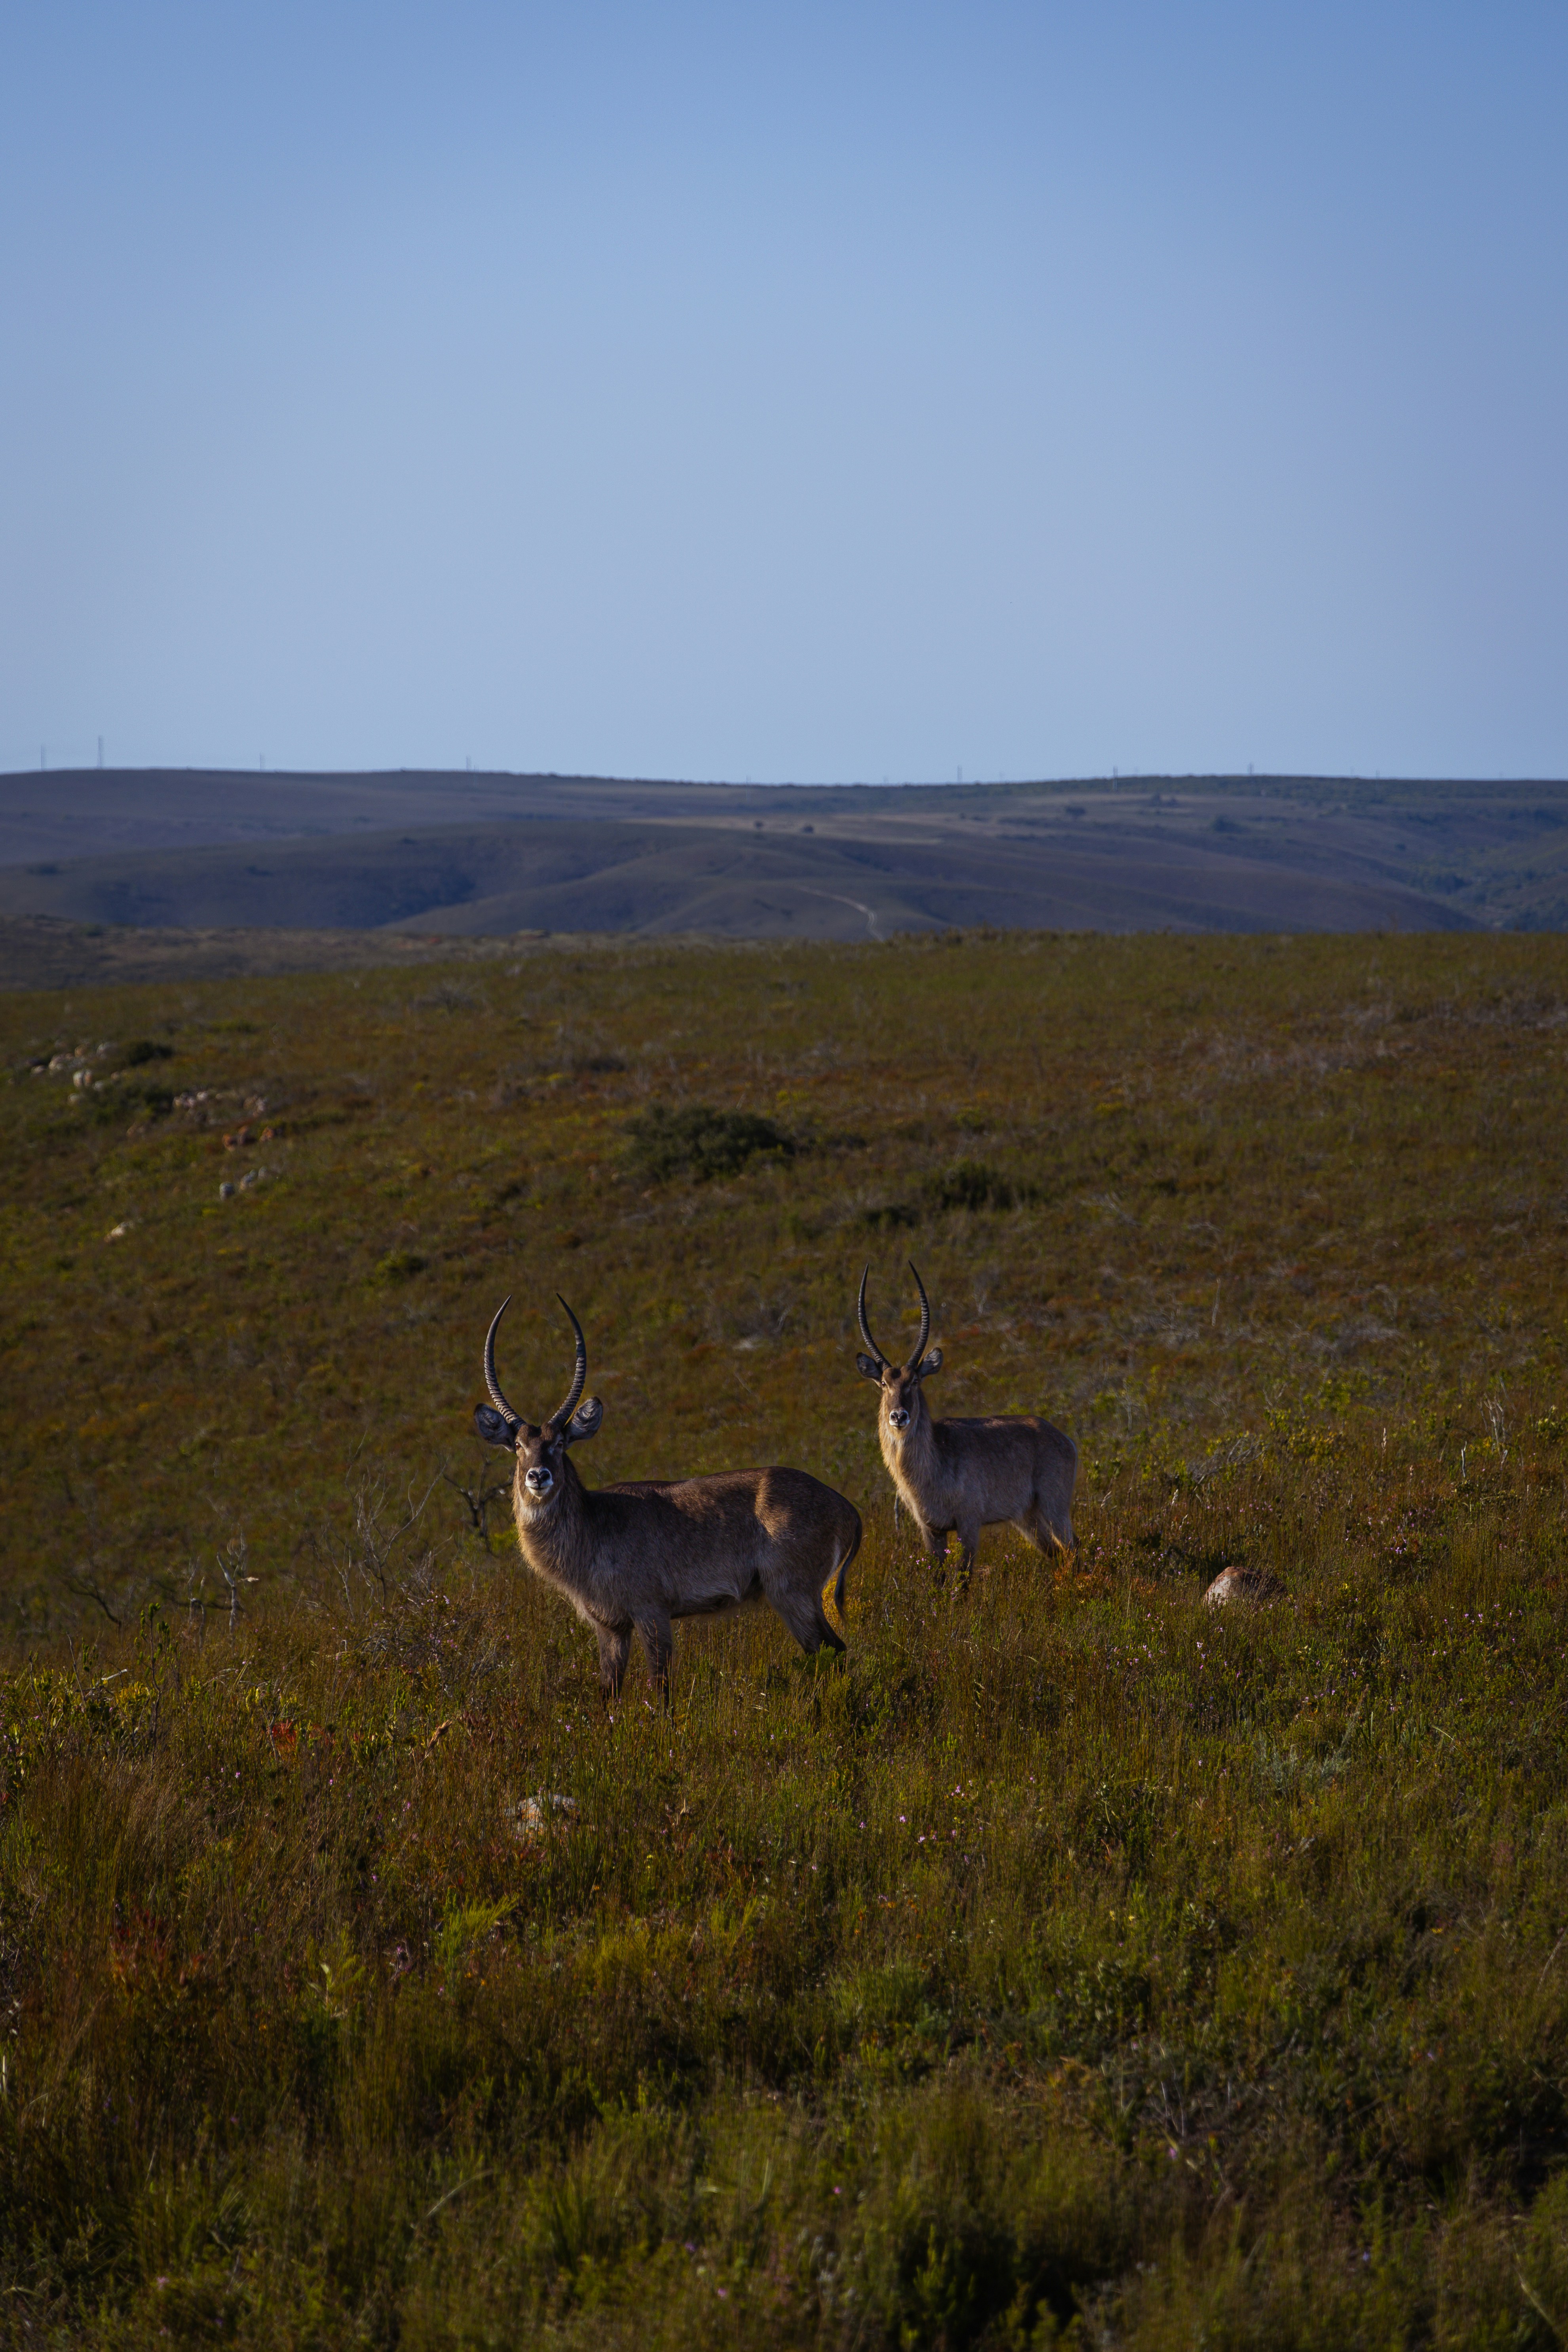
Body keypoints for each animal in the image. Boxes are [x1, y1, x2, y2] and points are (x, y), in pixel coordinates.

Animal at [473, 1295, 860, 1699]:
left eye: (561, 1442)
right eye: (518, 1445)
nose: (538, 1476)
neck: (593, 1526)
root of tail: (846, 1506)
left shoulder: (652, 1612)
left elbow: (661, 1688)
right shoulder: (610, 1627)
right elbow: (609, 1691)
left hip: (792, 1593)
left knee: (833, 1651)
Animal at [854, 1261, 1077, 1586]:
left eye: (915, 1380)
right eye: (884, 1383)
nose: (899, 1416)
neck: (934, 1463)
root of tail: (1064, 1439)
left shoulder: (969, 1525)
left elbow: (963, 1582)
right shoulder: (931, 1529)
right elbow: (938, 1581)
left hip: (1054, 1506)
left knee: (1074, 1549)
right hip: (1028, 1518)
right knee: (1058, 1554)